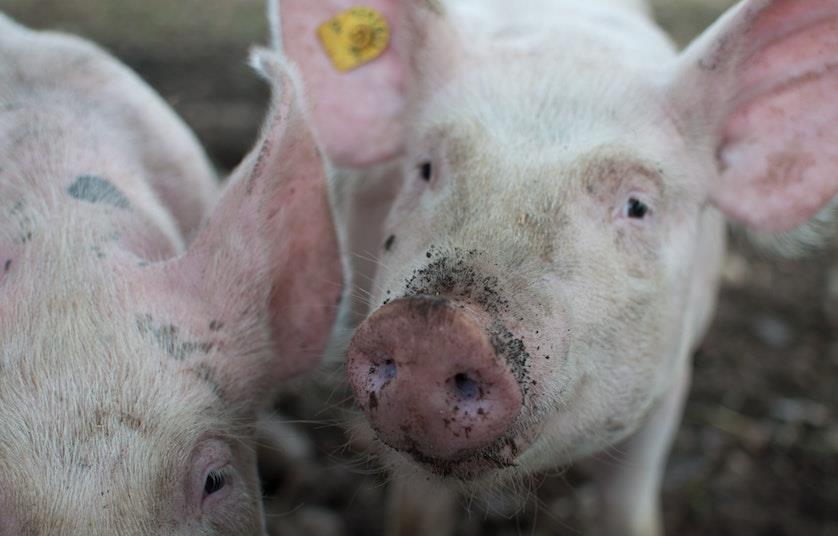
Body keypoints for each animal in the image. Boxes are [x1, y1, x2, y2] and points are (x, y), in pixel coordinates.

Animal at [272, 0, 838, 534]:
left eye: (637, 206)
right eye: (426, 169)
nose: (433, 324)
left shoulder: (671, 381)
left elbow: (629, 509)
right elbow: (417, 514)